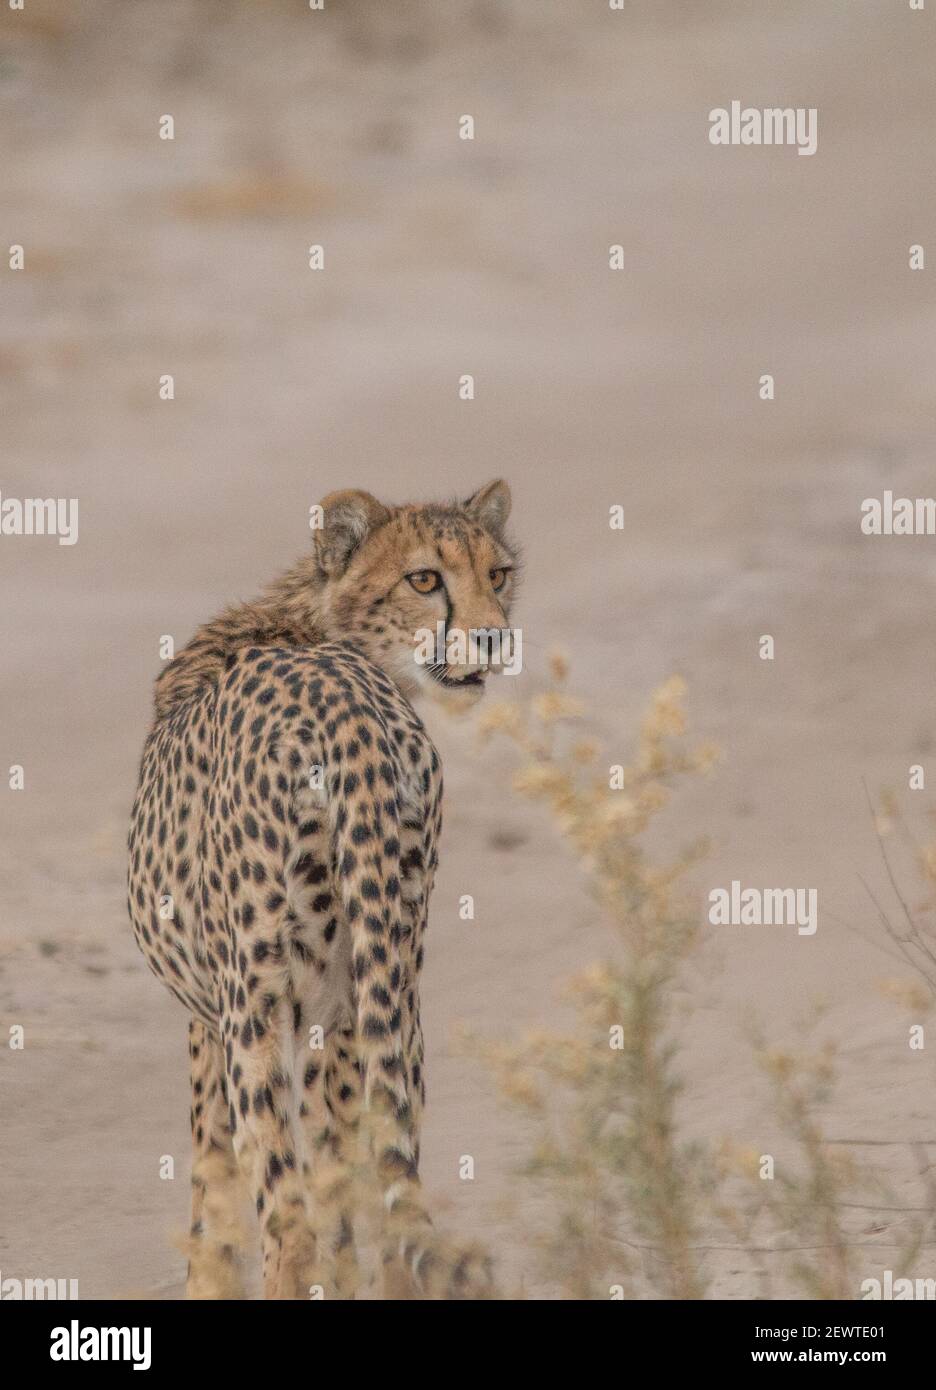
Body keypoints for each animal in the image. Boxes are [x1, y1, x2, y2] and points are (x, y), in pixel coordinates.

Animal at [126, 479, 518, 1299]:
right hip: (390, 982)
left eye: (496, 574)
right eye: (424, 579)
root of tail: (345, 710)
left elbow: (215, 1183)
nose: (494, 639)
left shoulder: (215, 1017)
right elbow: (345, 1177)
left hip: (255, 1006)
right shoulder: (334, 1013)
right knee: (388, 1201)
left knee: (289, 1221)